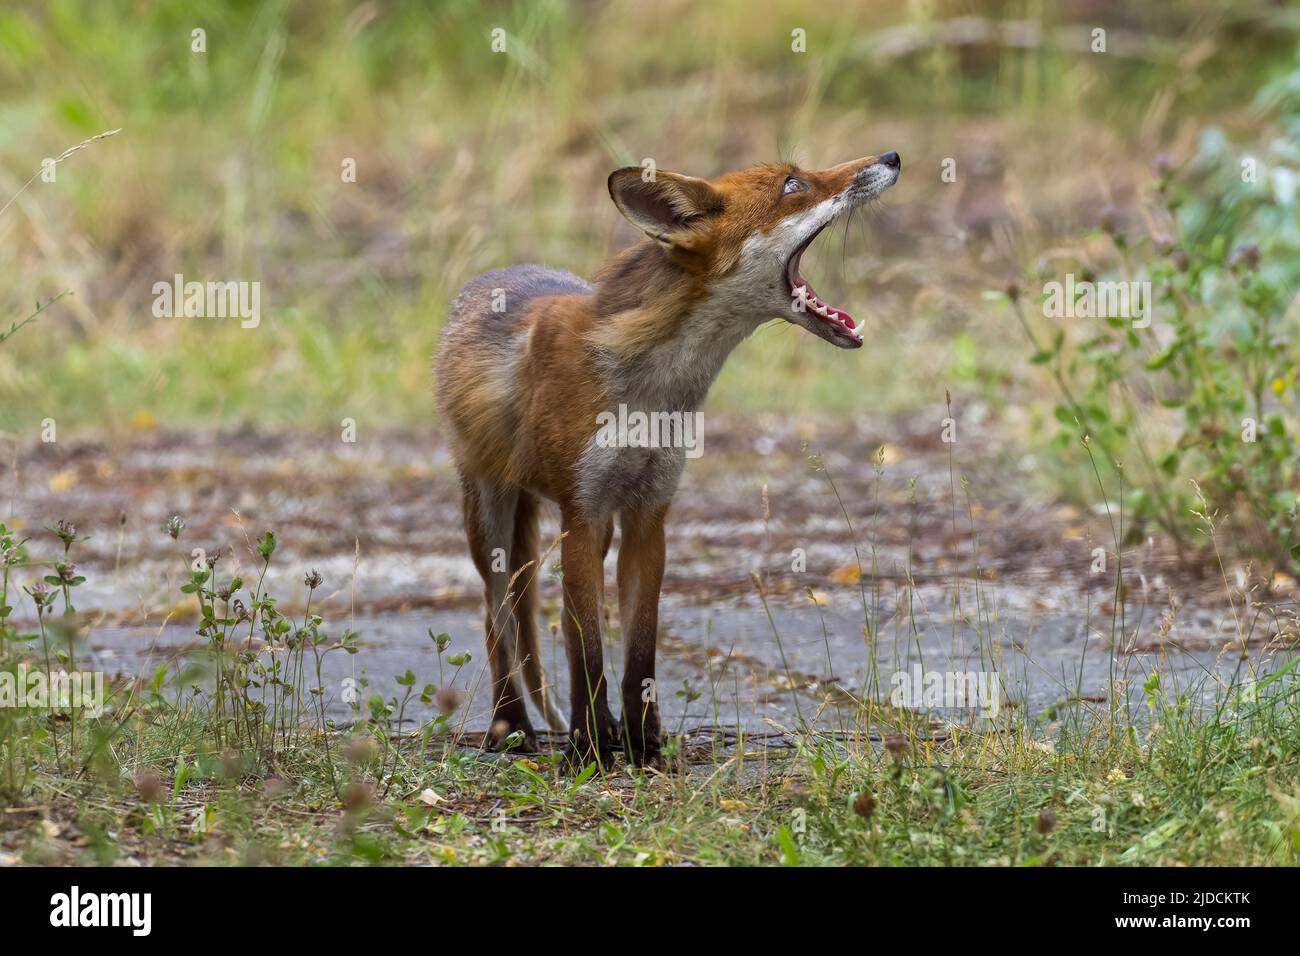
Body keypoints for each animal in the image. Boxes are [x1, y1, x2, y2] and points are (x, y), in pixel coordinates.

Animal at [435, 150, 901, 767]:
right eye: (793, 185)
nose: (892, 157)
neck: (653, 391)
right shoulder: (581, 514)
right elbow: (586, 653)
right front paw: (588, 748)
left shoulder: (647, 514)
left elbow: (638, 654)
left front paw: (643, 743)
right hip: (489, 512)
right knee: (497, 617)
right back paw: (508, 723)